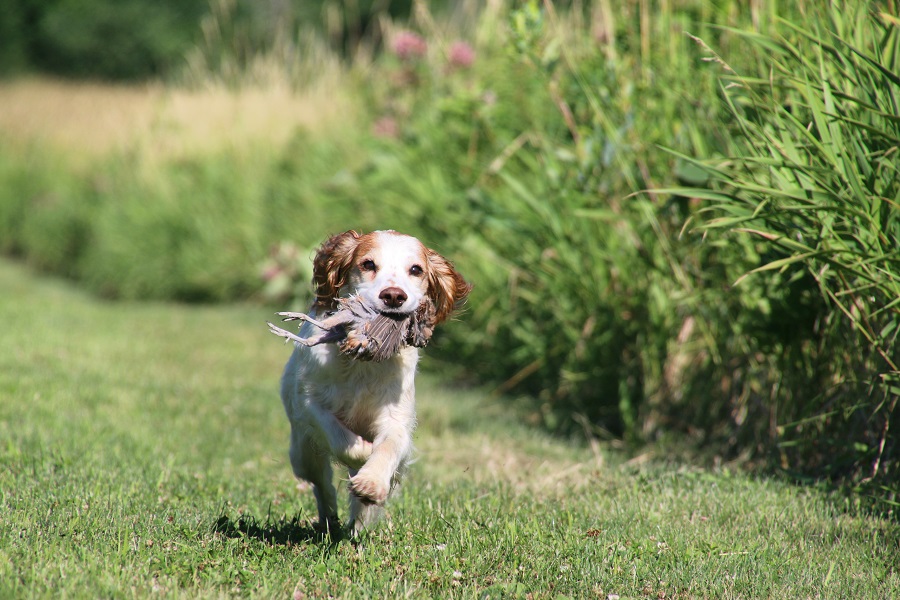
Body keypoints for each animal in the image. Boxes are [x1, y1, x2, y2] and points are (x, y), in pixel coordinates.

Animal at [282, 231, 472, 536]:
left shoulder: (396, 417)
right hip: (302, 451)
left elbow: (388, 447)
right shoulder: (310, 404)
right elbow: (339, 435)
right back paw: (329, 518)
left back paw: (357, 524)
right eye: (368, 264)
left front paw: (371, 481)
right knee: (321, 483)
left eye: (416, 270)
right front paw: (362, 453)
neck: (362, 365)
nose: (393, 296)